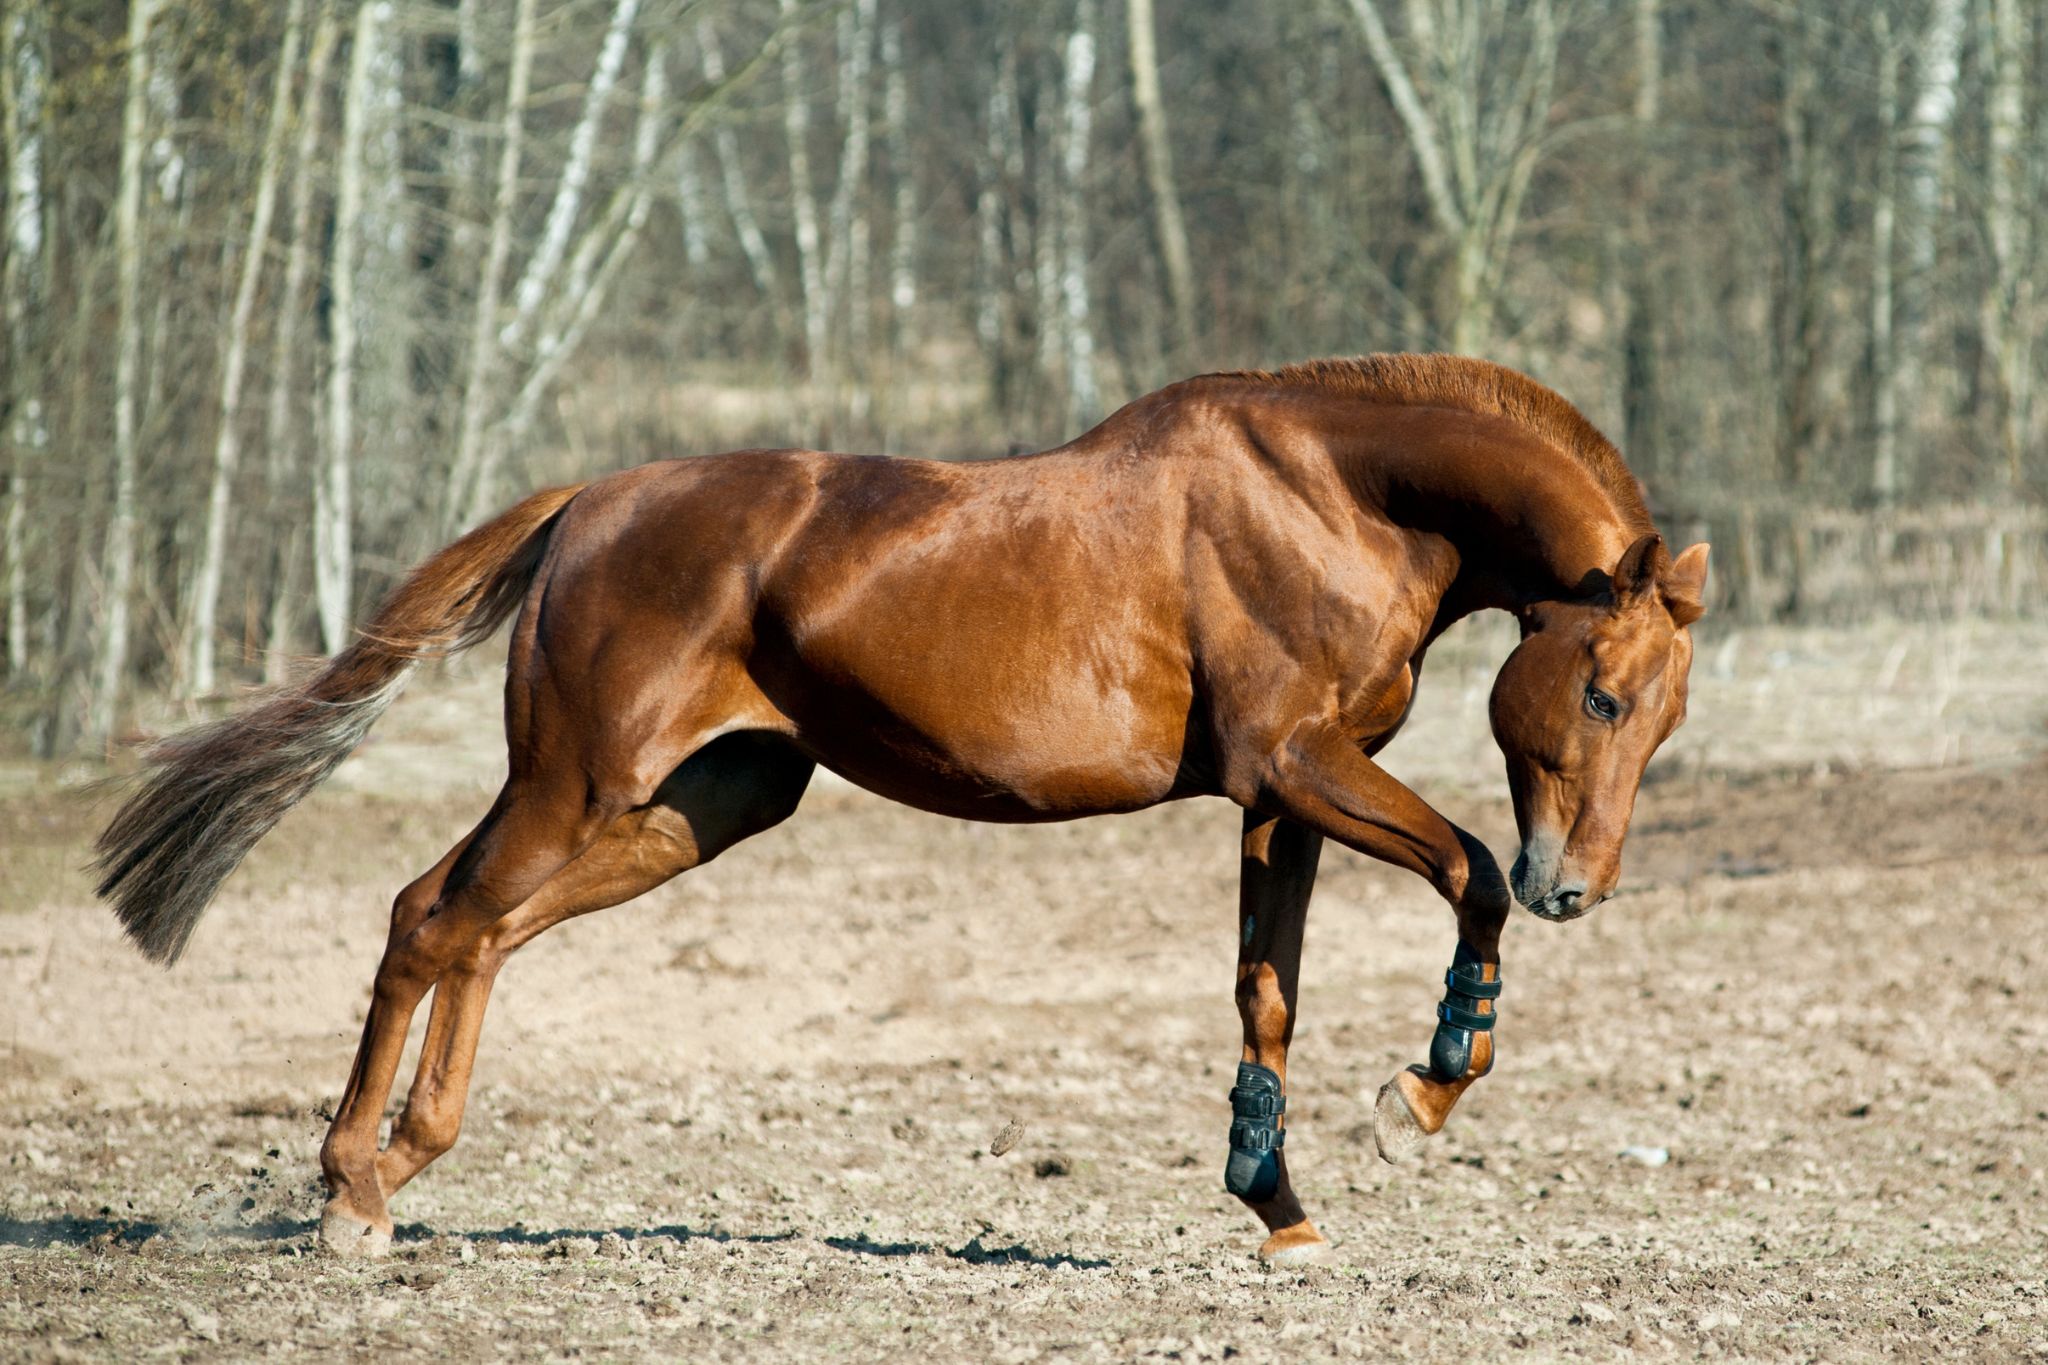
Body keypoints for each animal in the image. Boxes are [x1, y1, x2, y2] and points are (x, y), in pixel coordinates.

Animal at [95, 353, 1708, 1266]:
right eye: (1602, 695)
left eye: (1667, 714)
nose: (1579, 887)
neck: (1338, 491)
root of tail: (586, 507)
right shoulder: (1304, 765)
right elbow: (1464, 872)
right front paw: (1418, 1095)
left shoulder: (1282, 793)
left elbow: (1268, 994)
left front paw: (1276, 1204)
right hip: (577, 784)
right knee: (434, 921)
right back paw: (352, 1197)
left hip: (688, 810)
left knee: (467, 925)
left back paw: (396, 1163)